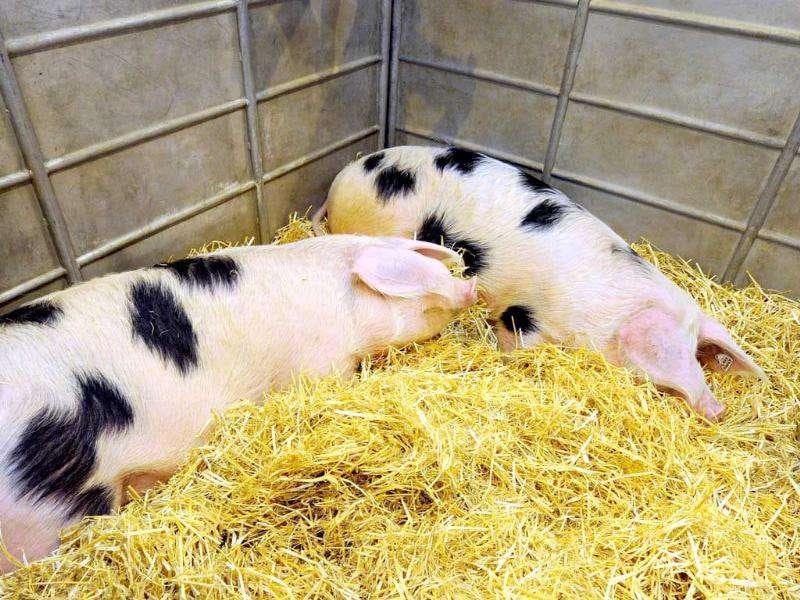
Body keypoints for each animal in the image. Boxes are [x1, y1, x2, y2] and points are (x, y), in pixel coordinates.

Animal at [313, 145, 766, 421]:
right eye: (675, 353)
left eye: (695, 350)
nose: (719, 411)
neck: (610, 311)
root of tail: (341, 182)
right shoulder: (524, 318)